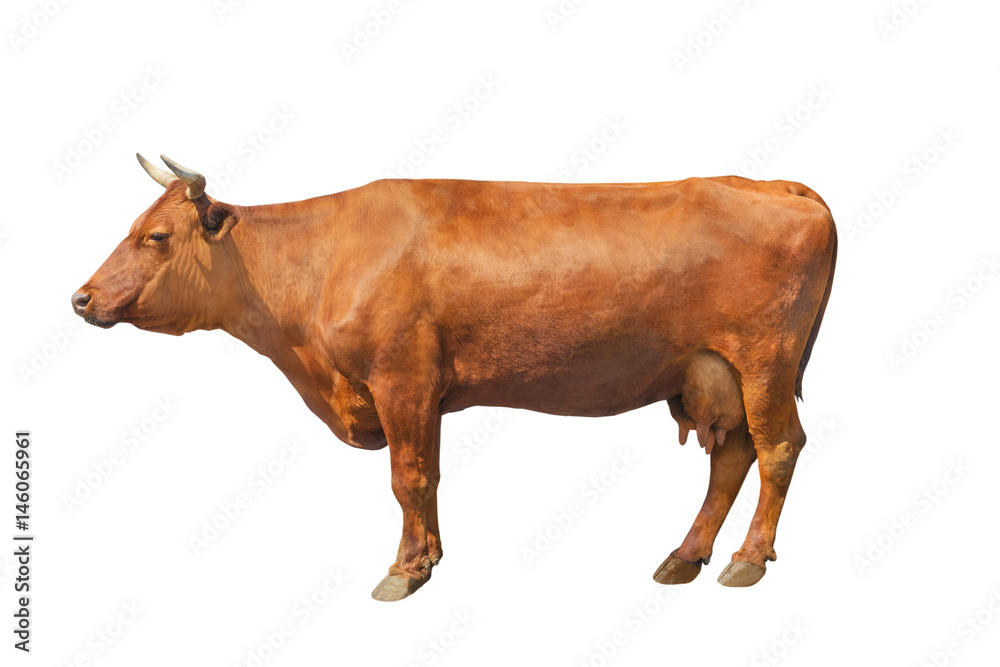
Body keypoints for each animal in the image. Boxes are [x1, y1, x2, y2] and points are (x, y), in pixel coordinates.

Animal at [72, 154, 837, 601]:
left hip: (763, 361)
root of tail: (779, 185)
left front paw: (403, 571)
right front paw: (429, 557)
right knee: (733, 456)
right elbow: (429, 475)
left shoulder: (401, 377)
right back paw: (685, 556)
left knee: (778, 448)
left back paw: (747, 559)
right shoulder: (424, 393)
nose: (81, 298)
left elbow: (407, 477)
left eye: (157, 236)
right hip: (715, 373)